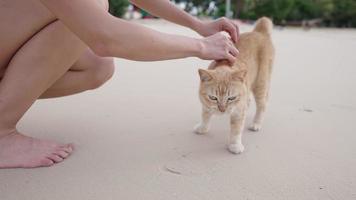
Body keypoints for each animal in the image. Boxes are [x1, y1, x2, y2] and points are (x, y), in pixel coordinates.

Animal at [195, 17, 276, 155]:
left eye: (231, 98)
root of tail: (259, 32)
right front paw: (203, 127)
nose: (222, 110)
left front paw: (234, 145)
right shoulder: (206, 105)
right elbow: (205, 115)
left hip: (260, 84)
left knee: (262, 105)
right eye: (213, 98)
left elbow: (236, 130)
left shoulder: (238, 113)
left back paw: (256, 124)